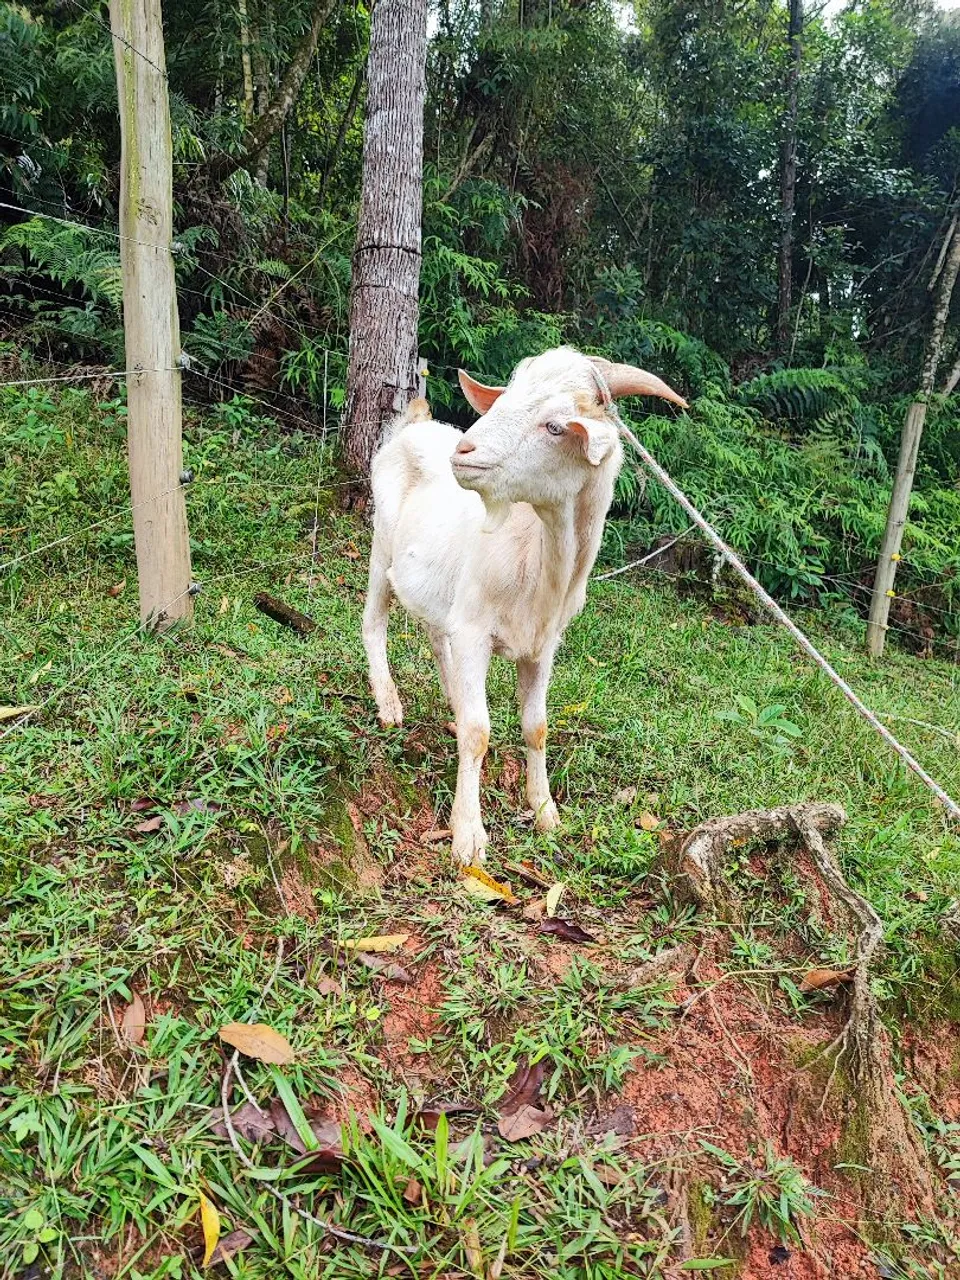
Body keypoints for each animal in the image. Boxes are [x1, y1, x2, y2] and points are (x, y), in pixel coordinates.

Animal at [362, 346, 686, 864]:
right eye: (504, 399)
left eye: (554, 426)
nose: (464, 453)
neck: (535, 558)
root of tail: (414, 425)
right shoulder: (474, 629)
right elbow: (478, 732)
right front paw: (468, 837)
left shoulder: (542, 645)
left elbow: (537, 726)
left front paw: (545, 810)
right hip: (381, 544)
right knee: (373, 619)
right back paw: (389, 702)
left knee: (435, 633)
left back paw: (450, 695)